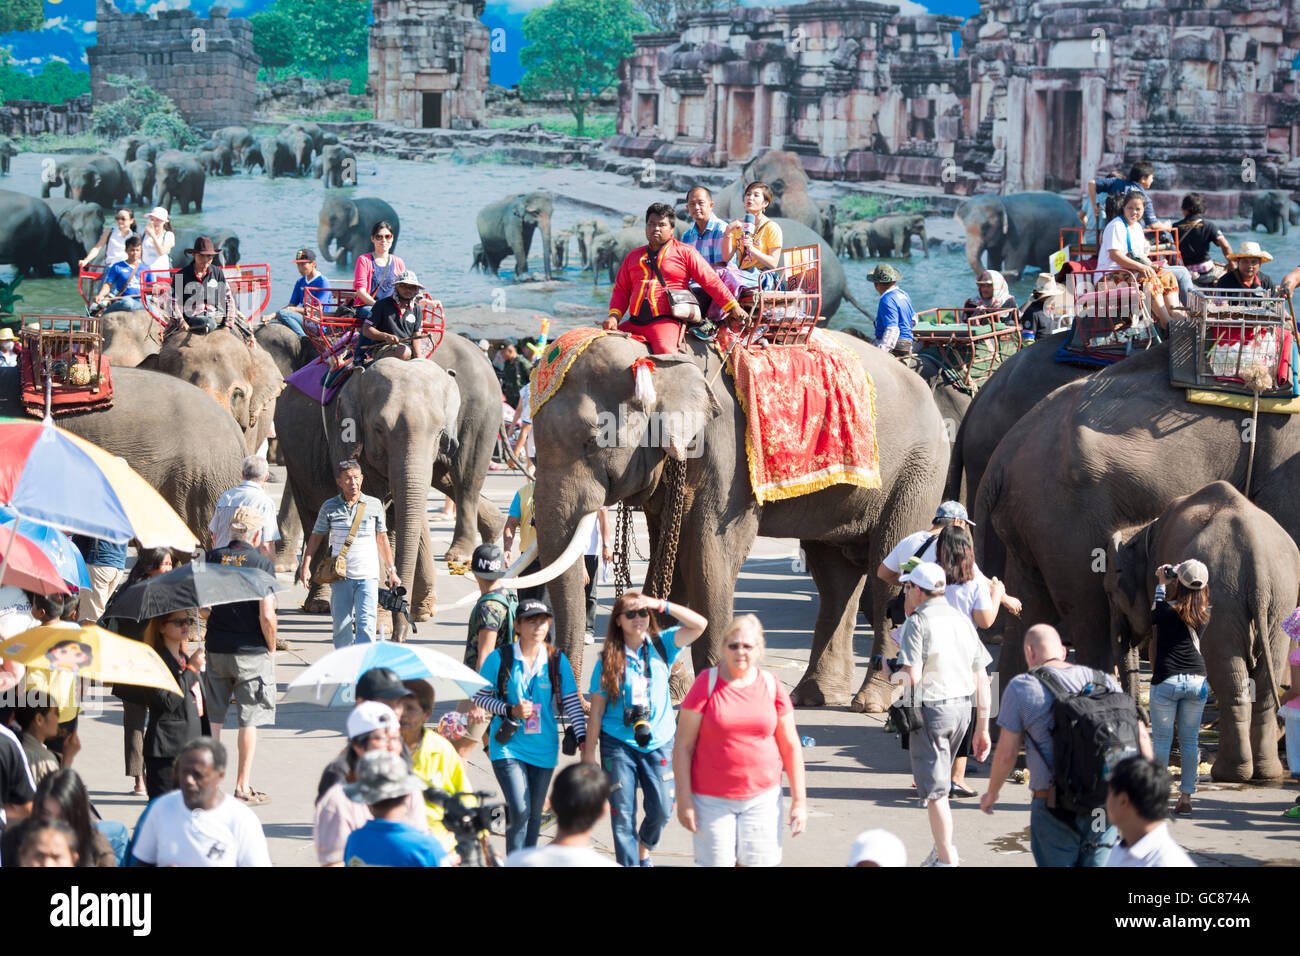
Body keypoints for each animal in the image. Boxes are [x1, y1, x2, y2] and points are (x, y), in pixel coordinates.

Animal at [526, 330, 949, 710]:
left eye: (592, 441)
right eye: (534, 447)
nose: (580, 704)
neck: (656, 355)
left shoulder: (728, 460)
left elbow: (708, 557)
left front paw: (718, 692)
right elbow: (671, 561)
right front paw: (671, 688)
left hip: (919, 471)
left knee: (889, 572)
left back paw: (871, 701)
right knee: (834, 578)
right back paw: (814, 697)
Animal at [976, 341, 1300, 705]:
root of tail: (1001, 458)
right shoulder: (1284, 474)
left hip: (1028, 521)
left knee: (1028, 609)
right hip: (1065, 521)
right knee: (1090, 619)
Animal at [1105, 481, 1297, 782]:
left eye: (1111, 594)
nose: (1141, 715)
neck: (1145, 529)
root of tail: (1257, 559)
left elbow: (1161, 651)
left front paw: (1174, 758)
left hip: (1223, 596)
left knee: (1231, 680)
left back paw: (1229, 773)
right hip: (1279, 600)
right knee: (1265, 682)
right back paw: (1263, 773)